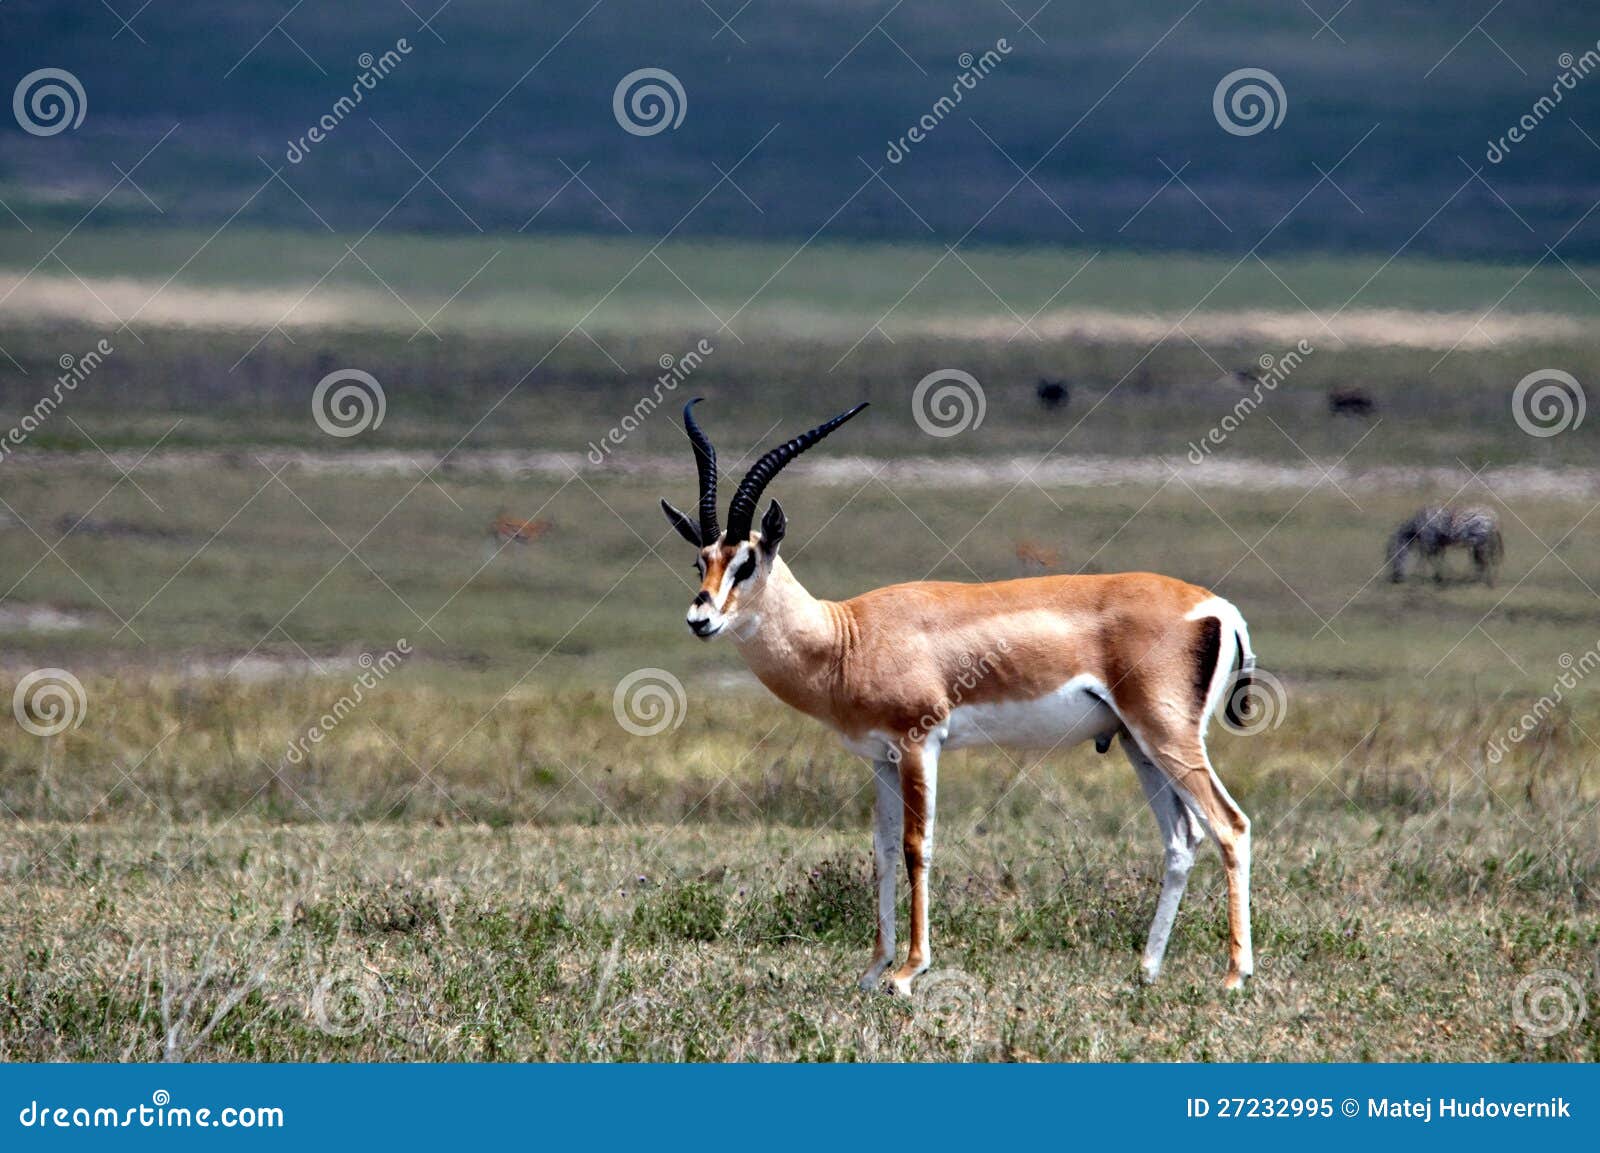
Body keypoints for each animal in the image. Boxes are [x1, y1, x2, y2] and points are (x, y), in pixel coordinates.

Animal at [661, 400, 1257, 995]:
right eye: (701, 562)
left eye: (747, 563)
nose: (699, 619)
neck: (846, 637)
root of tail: (1216, 606)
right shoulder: (882, 757)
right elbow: (882, 850)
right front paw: (873, 969)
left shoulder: (920, 742)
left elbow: (916, 846)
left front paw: (909, 970)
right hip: (1137, 741)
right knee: (1182, 839)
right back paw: (1147, 970)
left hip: (1168, 735)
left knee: (1229, 825)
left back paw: (1233, 975)